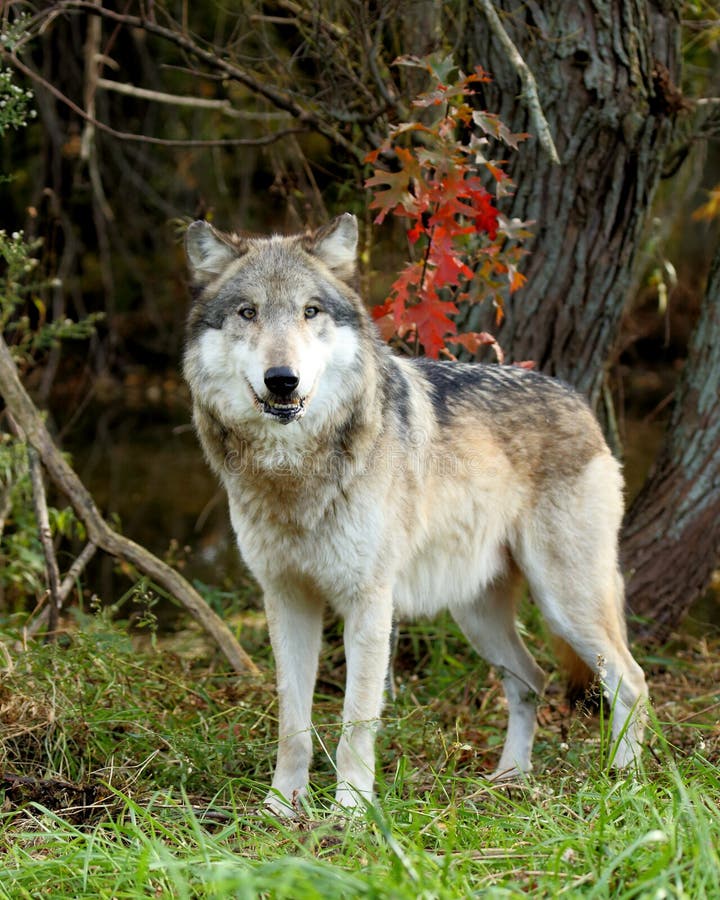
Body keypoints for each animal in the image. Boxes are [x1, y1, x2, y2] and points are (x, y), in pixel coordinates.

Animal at [183, 212, 648, 816]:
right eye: (248, 312)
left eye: (310, 311)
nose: (282, 379)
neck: (295, 474)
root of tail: (579, 401)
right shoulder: (286, 599)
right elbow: (293, 723)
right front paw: (281, 808)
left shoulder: (369, 603)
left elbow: (355, 722)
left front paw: (350, 813)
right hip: (479, 615)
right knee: (532, 680)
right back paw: (508, 779)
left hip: (566, 601)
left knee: (631, 681)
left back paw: (625, 786)